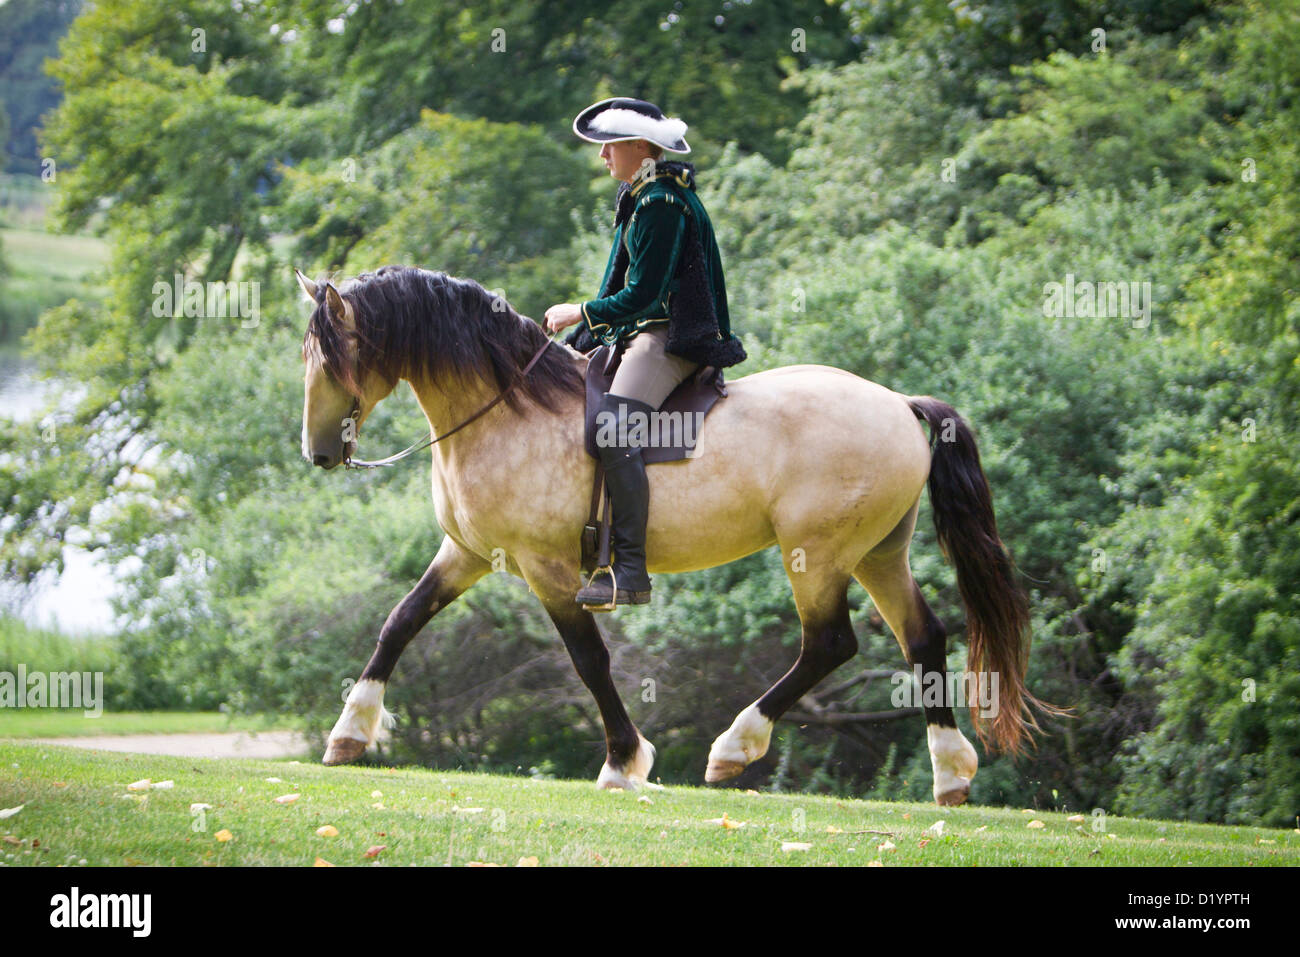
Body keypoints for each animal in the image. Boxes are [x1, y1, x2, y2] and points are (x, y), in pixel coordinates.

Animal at [297, 264, 1058, 806]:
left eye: (333, 358)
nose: (319, 454)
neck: (509, 409)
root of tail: (898, 404)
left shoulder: (548, 570)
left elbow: (590, 660)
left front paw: (623, 761)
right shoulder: (467, 554)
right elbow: (399, 623)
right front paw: (349, 733)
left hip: (818, 556)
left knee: (829, 643)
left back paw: (735, 747)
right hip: (877, 554)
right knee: (923, 636)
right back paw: (951, 774)